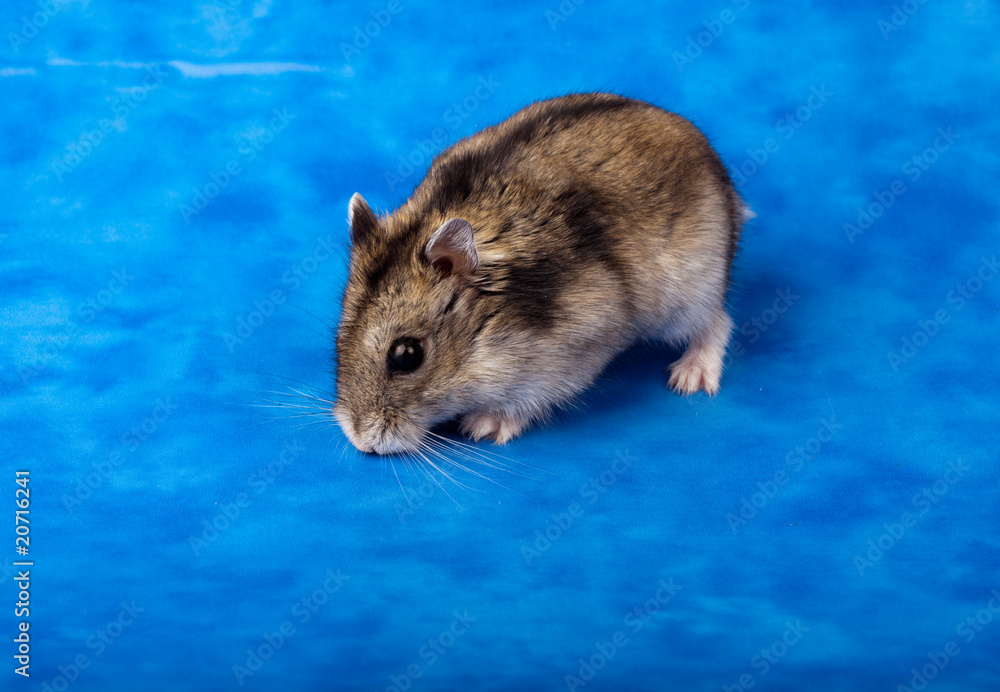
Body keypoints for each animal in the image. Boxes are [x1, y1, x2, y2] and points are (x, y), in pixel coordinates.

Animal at [334, 92, 750, 454]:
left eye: (407, 355)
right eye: (341, 336)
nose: (360, 441)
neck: (490, 328)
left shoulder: (566, 356)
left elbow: (525, 400)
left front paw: (482, 427)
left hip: (690, 295)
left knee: (718, 321)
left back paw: (689, 379)